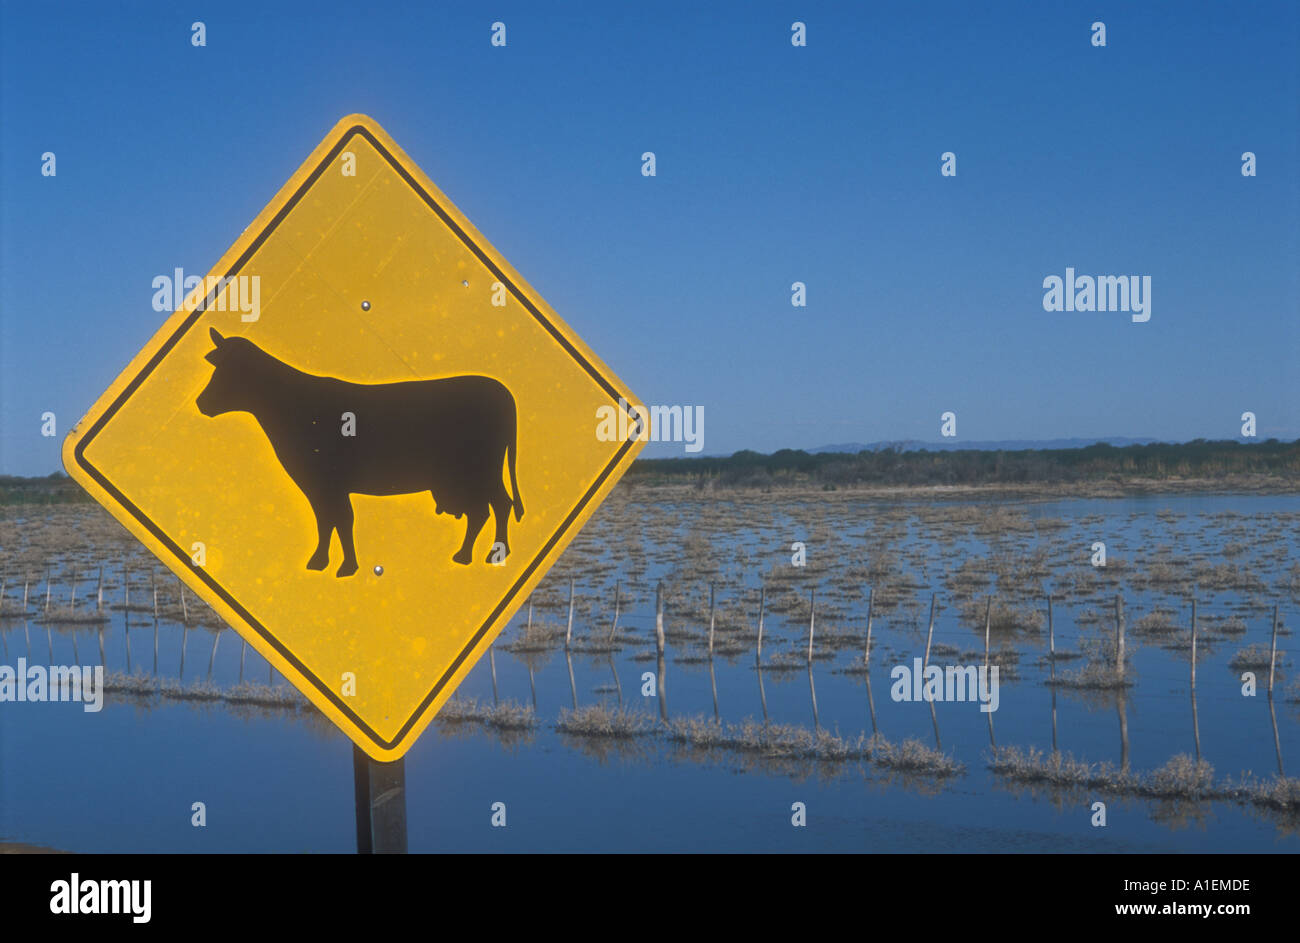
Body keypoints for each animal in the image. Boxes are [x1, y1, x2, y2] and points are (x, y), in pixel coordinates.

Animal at [195, 328, 523, 577]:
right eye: (216, 366)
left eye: (232, 370)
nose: (201, 402)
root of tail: (503, 392)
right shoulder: (321, 487)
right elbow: (329, 520)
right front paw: (327, 562)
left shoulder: (327, 484)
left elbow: (338, 519)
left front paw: (341, 565)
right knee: (485, 510)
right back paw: (468, 554)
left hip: (482, 470)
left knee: (499, 505)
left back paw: (490, 554)